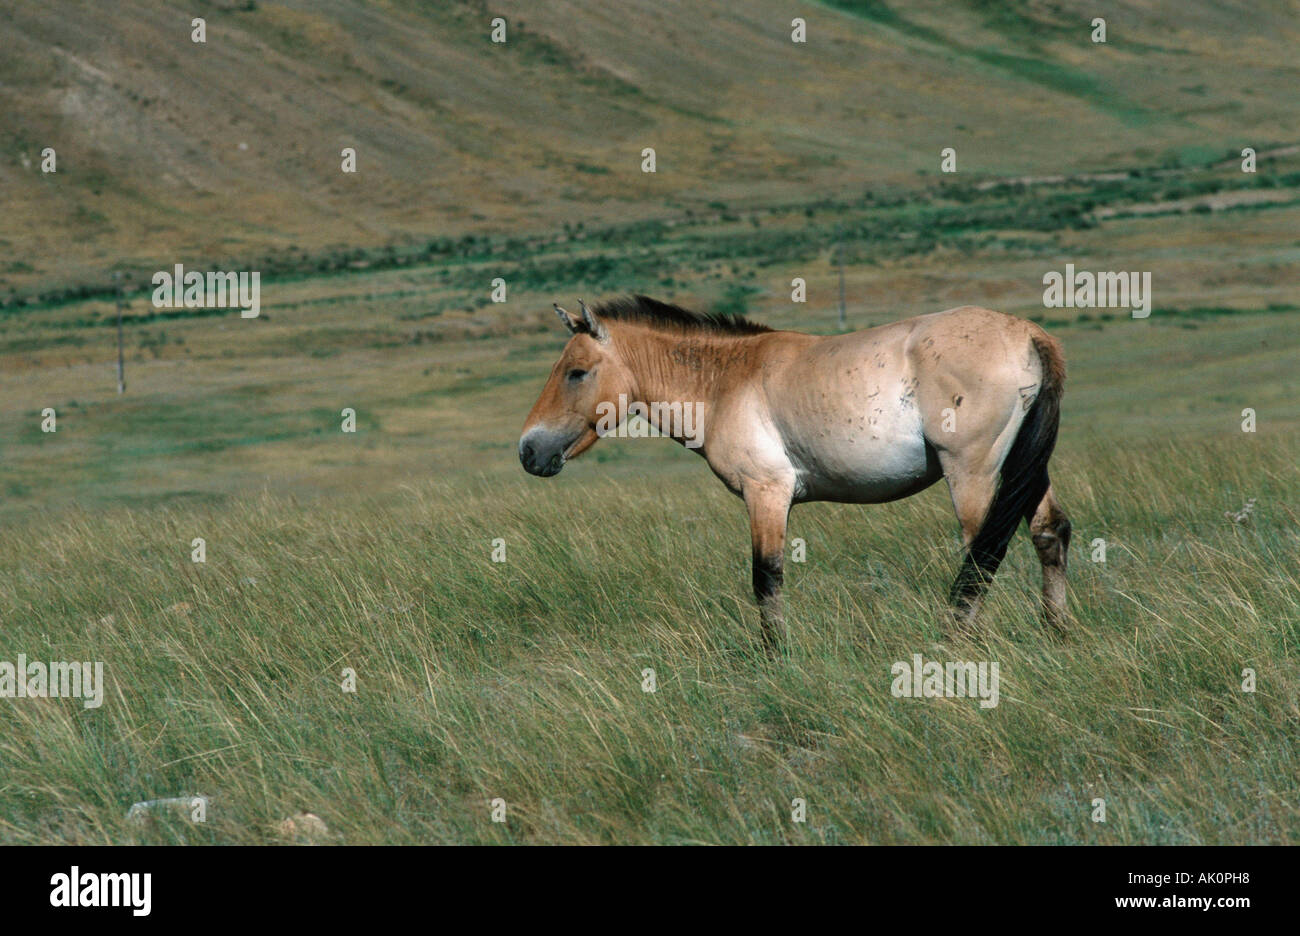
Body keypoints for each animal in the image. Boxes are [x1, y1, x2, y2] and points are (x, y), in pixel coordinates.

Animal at [519, 295, 1071, 650]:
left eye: (576, 372)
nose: (528, 450)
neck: (724, 380)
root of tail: (1030, 335)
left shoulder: (767, 493)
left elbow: (766, 576)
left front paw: (774, 655)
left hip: (974, 474)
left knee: (983, 554)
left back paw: (962, 643)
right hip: (1025, 470)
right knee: (1049, 533)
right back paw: (1057, 633)